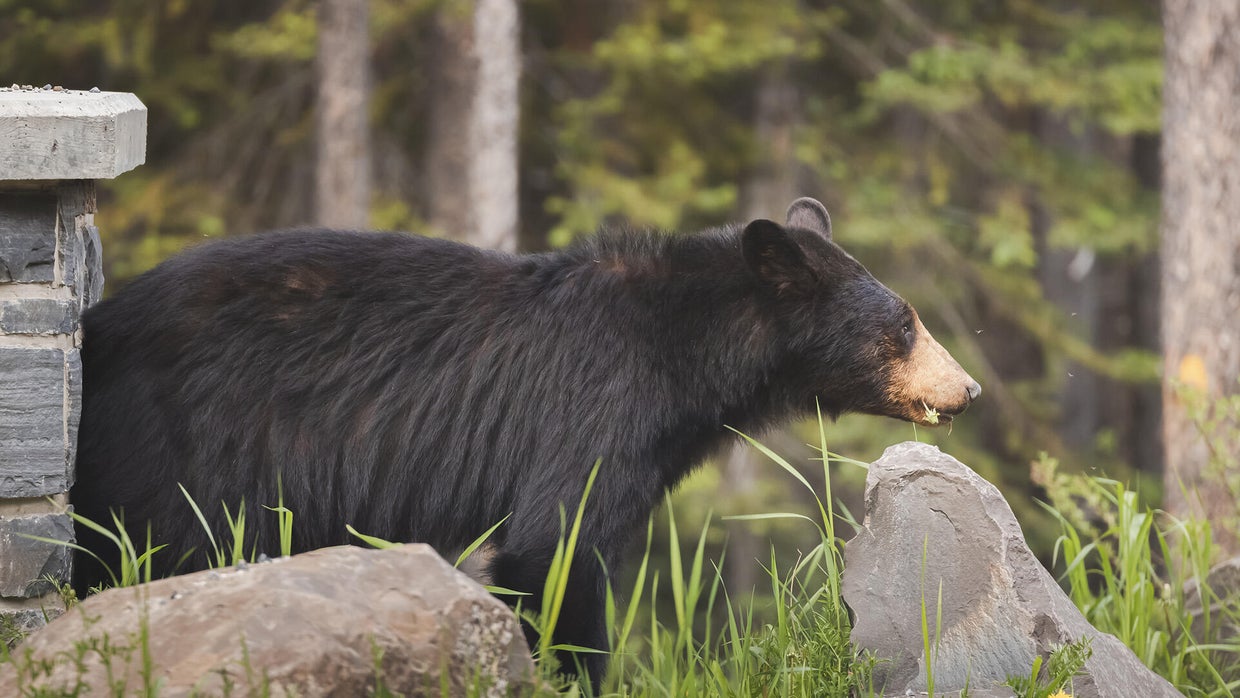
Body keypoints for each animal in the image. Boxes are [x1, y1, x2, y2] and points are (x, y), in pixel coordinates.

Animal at [71, 197, 980, 688]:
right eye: (906, 326)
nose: (967, 389)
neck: (689, 348)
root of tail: (101, 326)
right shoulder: (596, 406)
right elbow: (557, 546)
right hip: (175, 442)